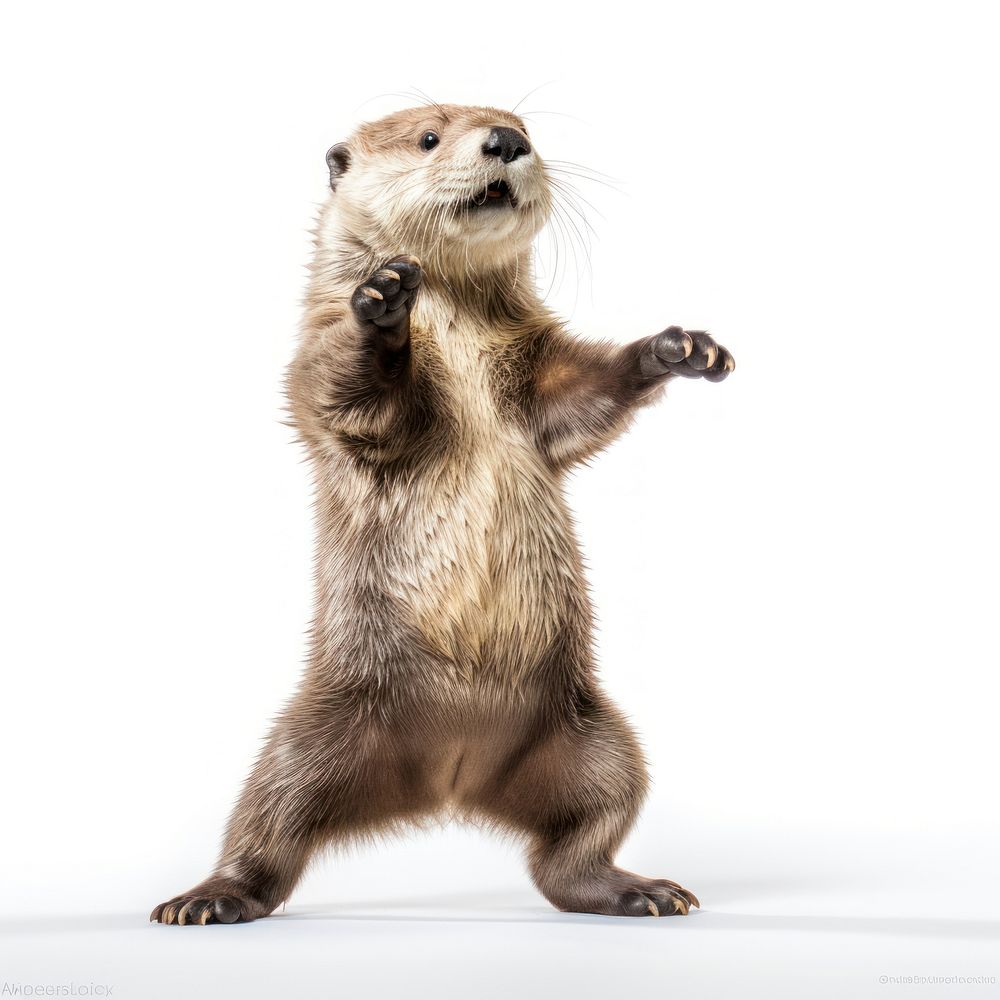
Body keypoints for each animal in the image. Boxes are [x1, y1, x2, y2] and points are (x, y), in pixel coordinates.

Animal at [150, 103, 734, 926]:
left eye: (526, 128)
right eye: (430, 136)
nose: (506, 142)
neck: (460, 335)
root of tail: (448, 778)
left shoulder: (536, 370)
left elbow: (583, 399)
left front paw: (680, 347)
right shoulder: (312, 353)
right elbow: (352, 396)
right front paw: (384, 300)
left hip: (599, 741)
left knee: (576, 846)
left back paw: (639, 890)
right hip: (310, 736)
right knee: (265, 824)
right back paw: (207, 900)